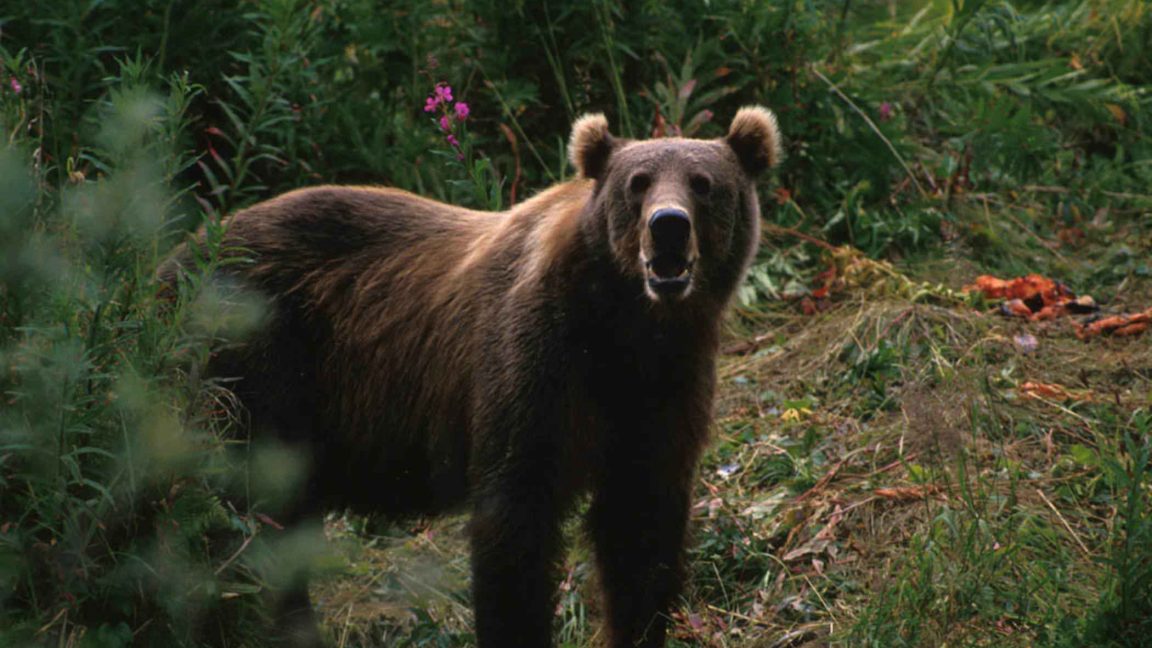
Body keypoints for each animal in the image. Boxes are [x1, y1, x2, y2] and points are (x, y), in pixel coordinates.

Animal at [164, 106, 781, 647]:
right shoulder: (535, 364)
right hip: (252, 366)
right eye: (638, 182)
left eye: (703, 183)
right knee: (242, 521)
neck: (624, 325)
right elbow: (515, 524)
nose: (668, 227)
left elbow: (641, 527)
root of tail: (178, 258)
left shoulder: (664, 386)